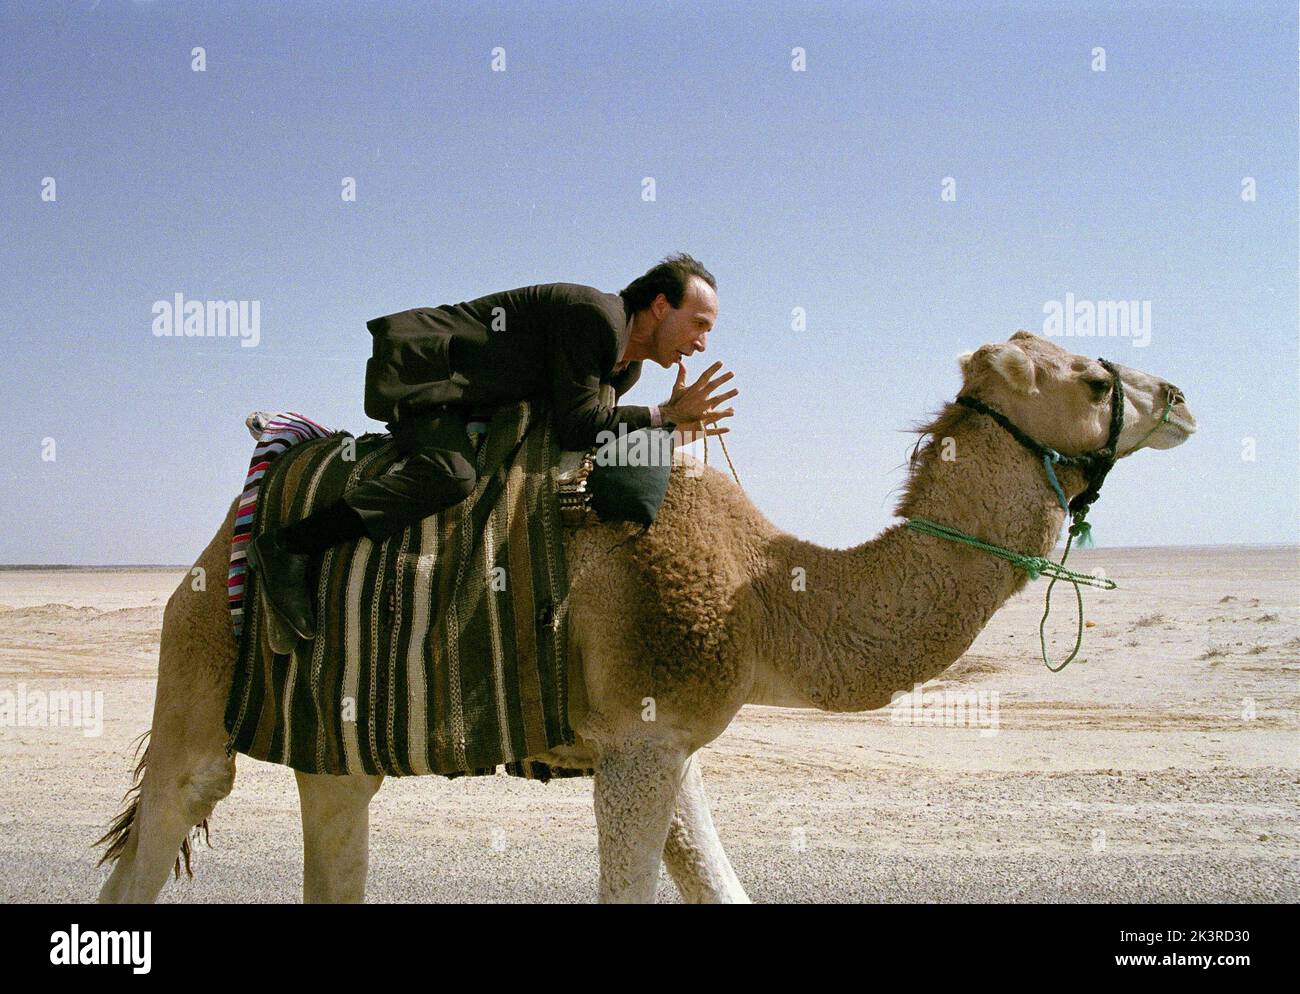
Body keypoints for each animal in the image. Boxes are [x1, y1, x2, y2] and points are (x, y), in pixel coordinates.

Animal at [96, 330, 1195, 903]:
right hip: (199, 666)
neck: (763, 593)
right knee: (165, 822)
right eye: (1094, 379)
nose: (1180, 395)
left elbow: (717, 882)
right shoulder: (637, 739)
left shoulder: (670, 743)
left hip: (337, 734)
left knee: (333, 808)